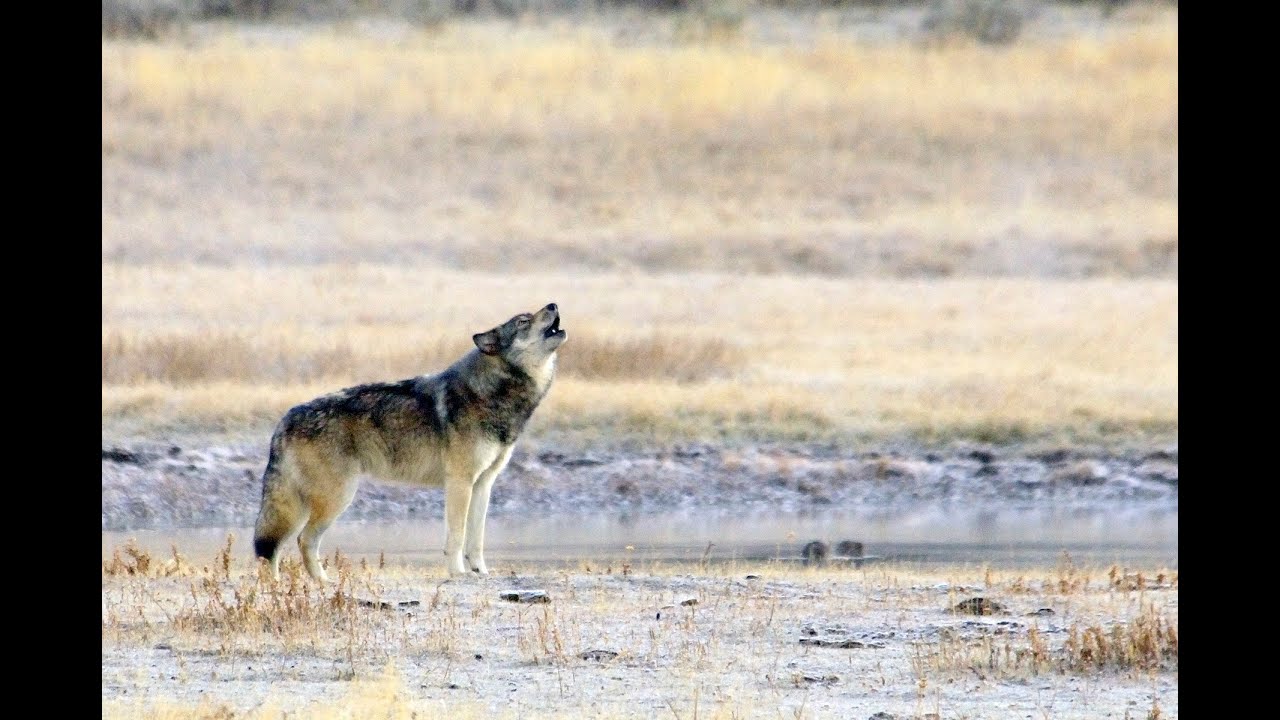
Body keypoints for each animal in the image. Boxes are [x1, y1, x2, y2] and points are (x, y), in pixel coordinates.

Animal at [252, 302, 566, 580]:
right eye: (523, 321)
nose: (553, 304)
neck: (492, 394)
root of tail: (286, 417)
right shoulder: (460, 482)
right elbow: (456, 536)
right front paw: (458, 573)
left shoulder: (483, 484)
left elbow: (476, 539)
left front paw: (480, 572)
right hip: (336, 498)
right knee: (299, 540)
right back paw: (313, 582)